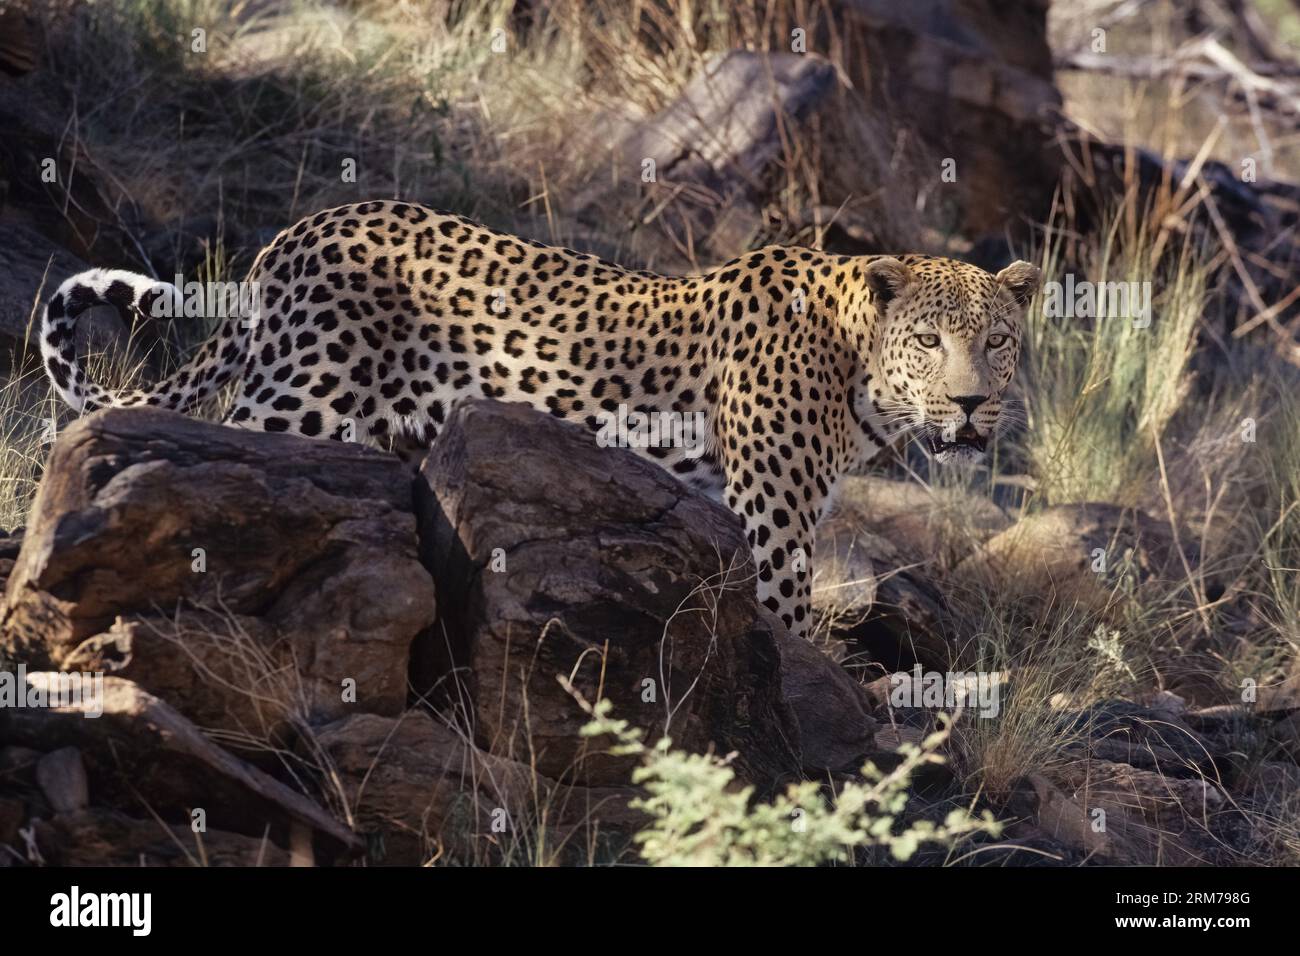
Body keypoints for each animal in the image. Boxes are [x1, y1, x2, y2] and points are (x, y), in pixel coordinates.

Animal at [40, 200, 1041, 638]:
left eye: (996, 342)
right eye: (928, 342)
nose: (970, 404)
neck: (854, 365)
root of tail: (301, 227)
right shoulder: (772, 522)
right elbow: (788, 631)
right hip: (300, 398)